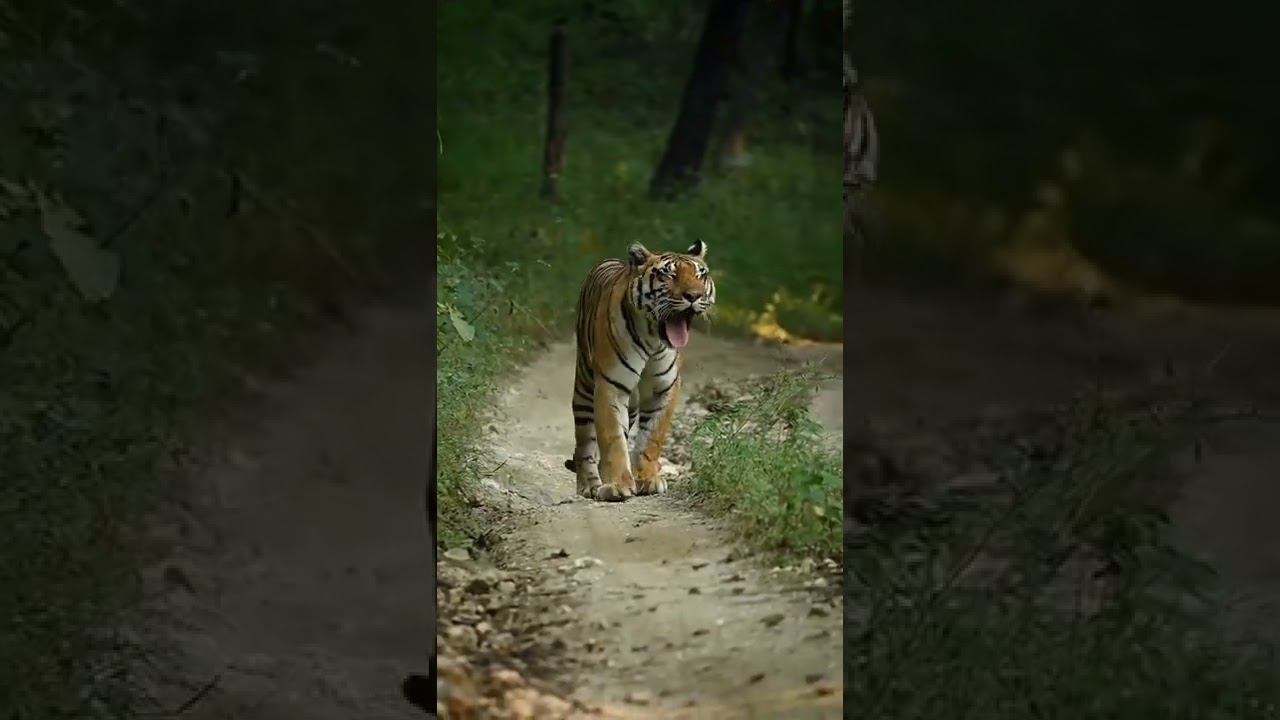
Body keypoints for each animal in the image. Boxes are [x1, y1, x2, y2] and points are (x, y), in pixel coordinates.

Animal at [562, 239, 716, 502]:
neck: (653, 338)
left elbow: (651, 438)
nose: (694, 296)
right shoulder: (610, 385)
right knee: (584, 444)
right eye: (669, 274)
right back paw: (589, 485)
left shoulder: (665, 388)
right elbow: (613, 439)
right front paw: (617, 486)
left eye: (700, 275)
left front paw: (647, 479)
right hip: (584, 388)